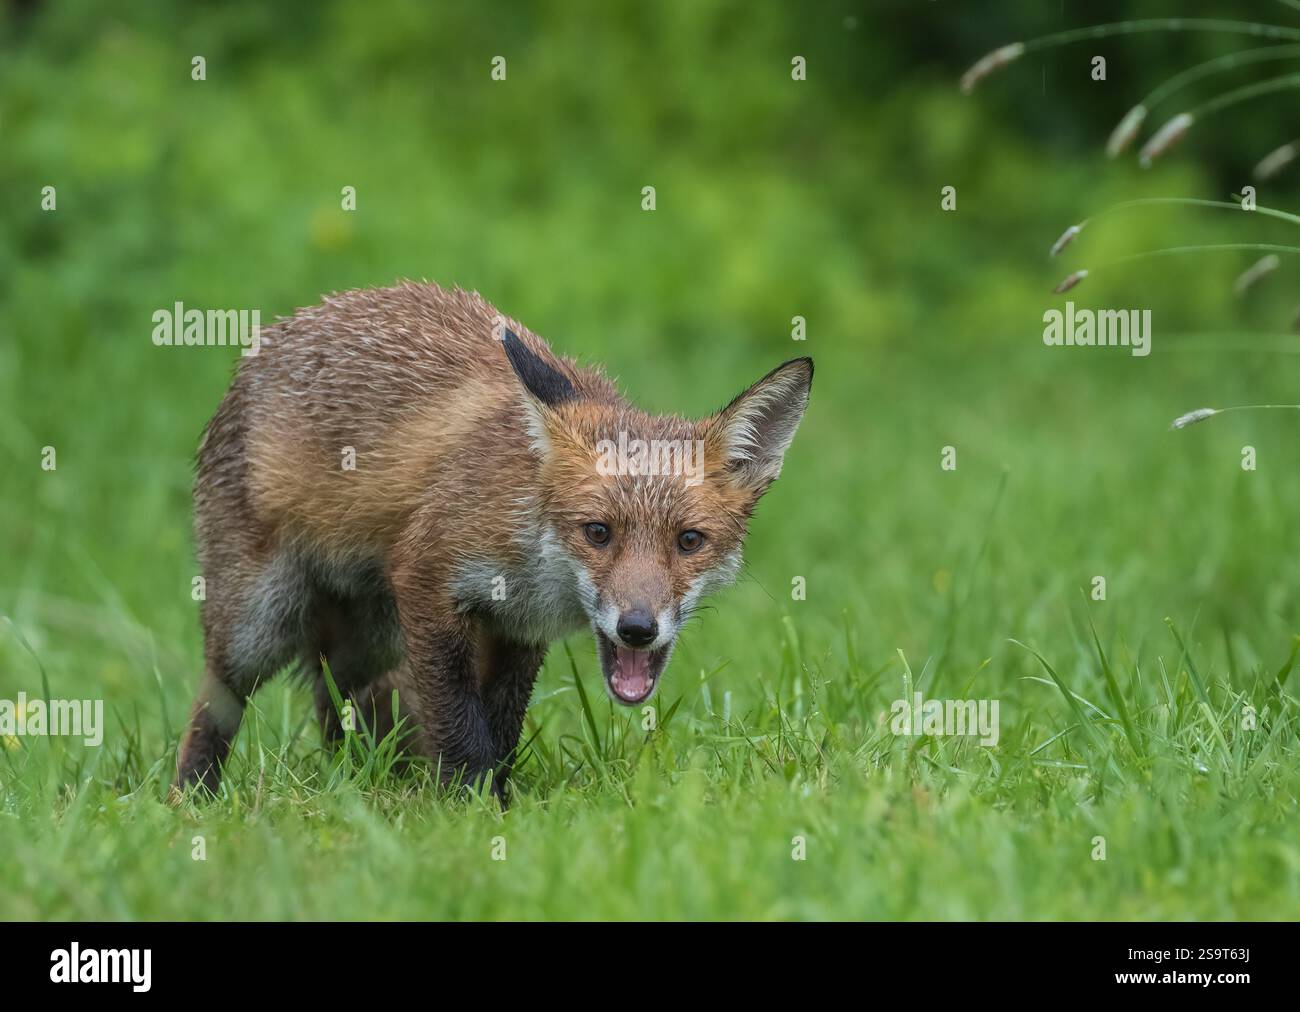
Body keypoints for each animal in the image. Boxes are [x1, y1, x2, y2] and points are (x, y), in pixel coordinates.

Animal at [175, 281, 812, 798]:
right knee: (216, 700)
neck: (535, 562)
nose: (637, 628)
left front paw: (493, 801)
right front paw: (471, 807)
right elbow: (460, 721)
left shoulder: (518, 629)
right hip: (260, 622)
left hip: (372, 641)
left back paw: (367, 783)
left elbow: (500, 725)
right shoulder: (427, 579)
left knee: (339, 704)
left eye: (689, 541)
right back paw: (194, 799)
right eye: (598, 532)